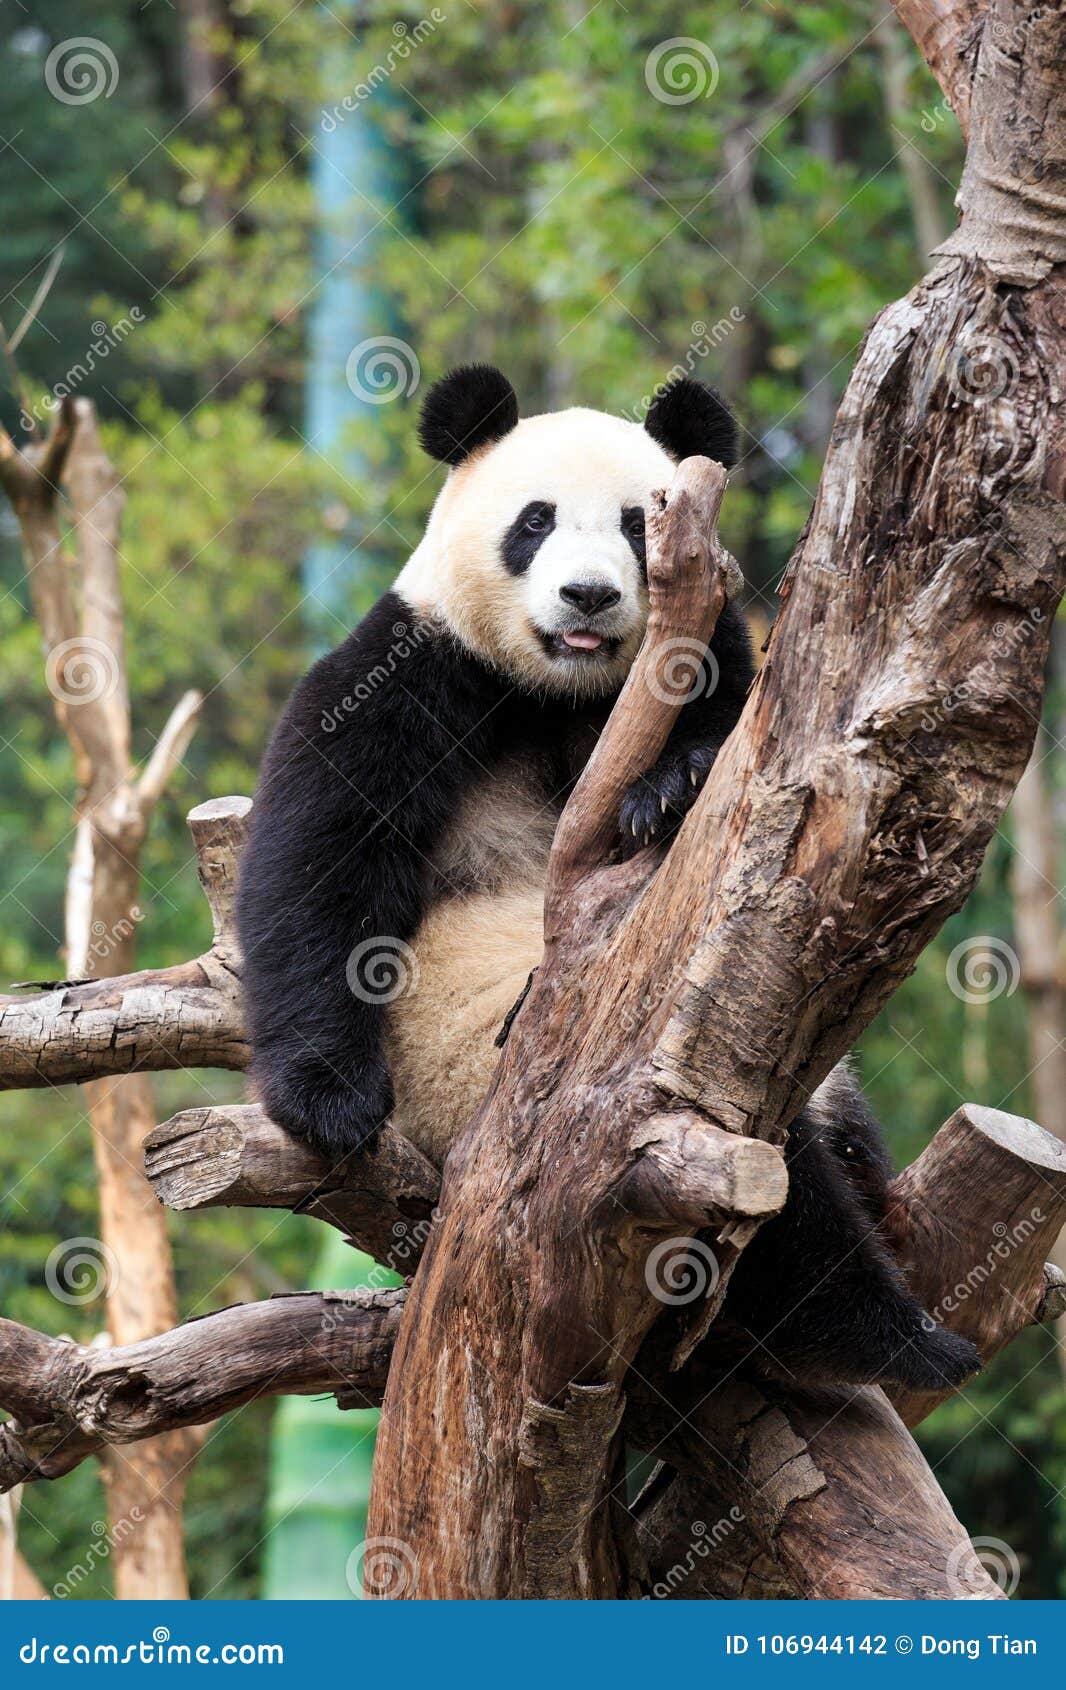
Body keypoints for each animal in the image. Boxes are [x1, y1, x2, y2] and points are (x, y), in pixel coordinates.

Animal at [236, 363, 980, 1394]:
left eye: (637, 525)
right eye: (535, 520)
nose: (587, 597)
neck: (566, 692)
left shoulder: (724, 673)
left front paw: (669, 790)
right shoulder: (416, 669)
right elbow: (323, 854)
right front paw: (330, 1102)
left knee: (831, 1130)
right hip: (502, 1085)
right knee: (760, 1190)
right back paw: (887, 1335)